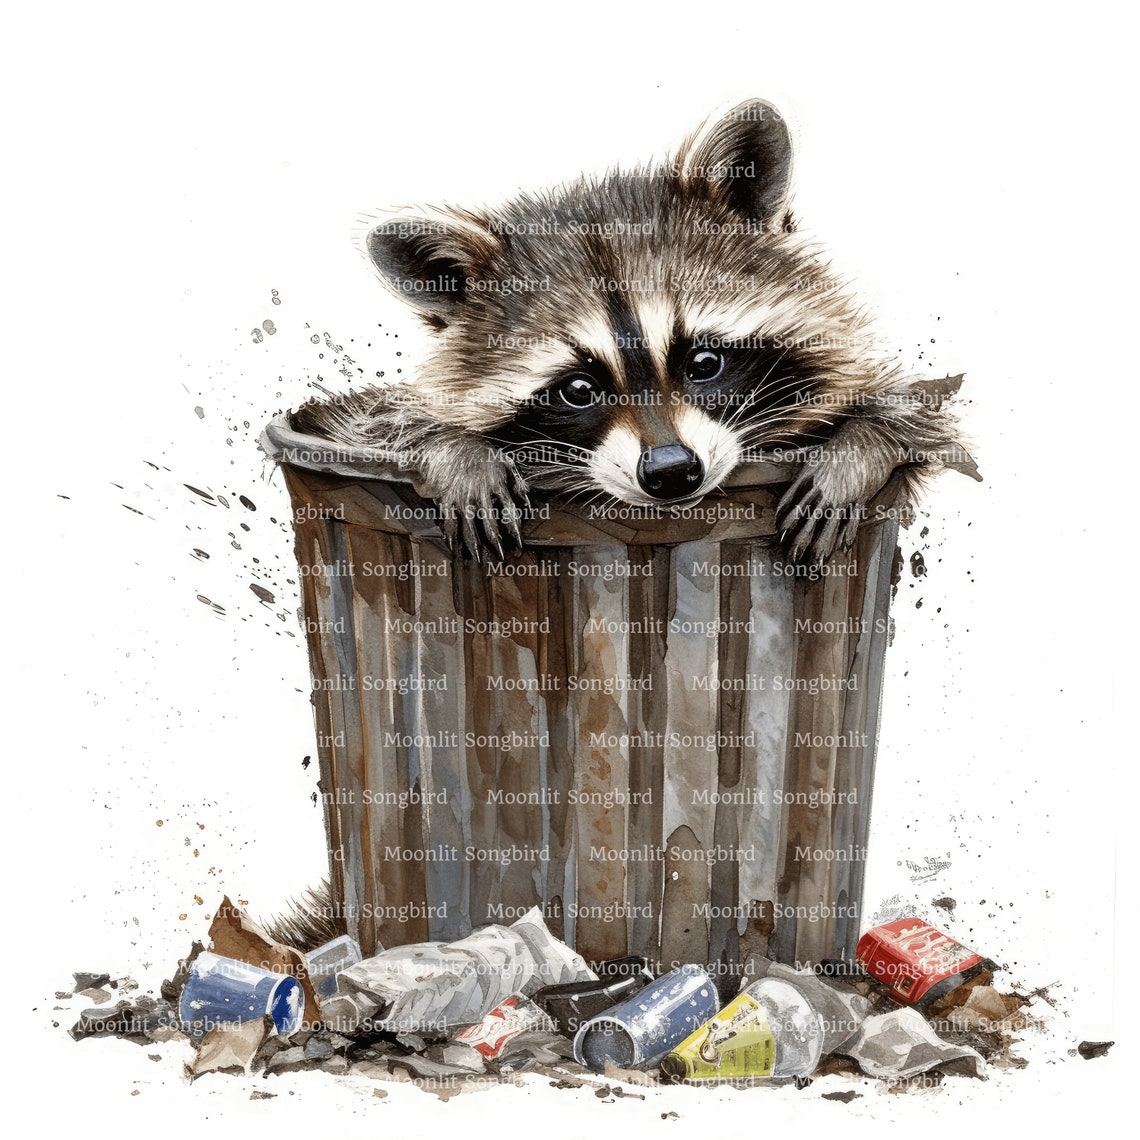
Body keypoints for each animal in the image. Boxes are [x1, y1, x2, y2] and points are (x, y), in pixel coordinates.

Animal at [293, 99, 967, 563]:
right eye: (578, 390)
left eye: (704, 363)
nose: (671, 472)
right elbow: (382, 421)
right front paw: (454, 450)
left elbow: (920, 416)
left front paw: (860, 445)